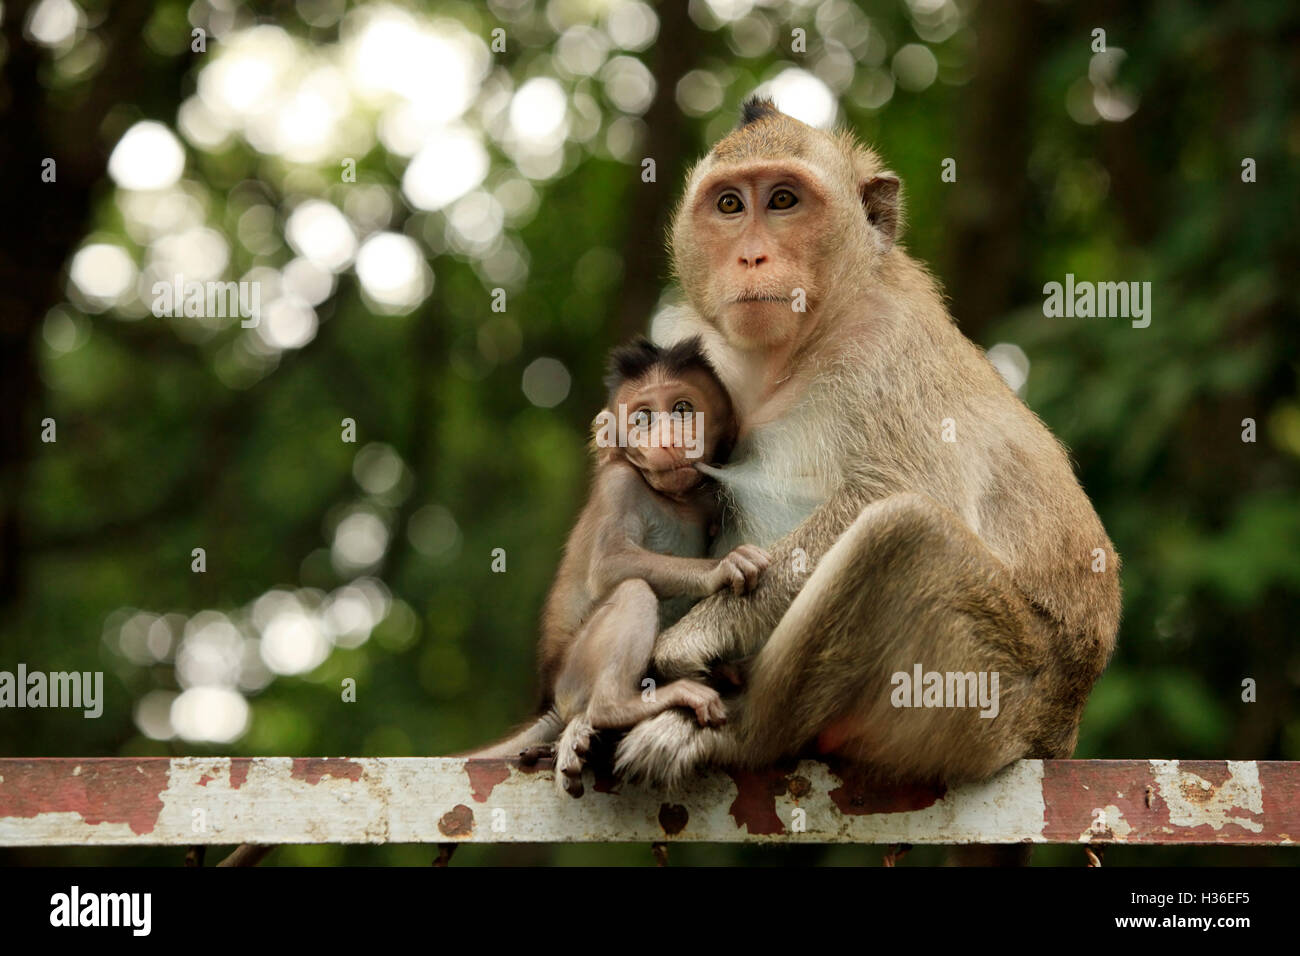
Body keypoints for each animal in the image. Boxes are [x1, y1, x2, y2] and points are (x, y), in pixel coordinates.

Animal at [469, 336, 770, 796]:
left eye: (682, 409)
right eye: (643, 418)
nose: (665, 439)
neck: (675, 499)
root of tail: (553, 700)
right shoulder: (619, 483)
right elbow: (609, 564)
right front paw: (722, 566)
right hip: (577, 674)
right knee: (633, 590)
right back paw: (616, 707)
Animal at [611, 99, 1122, 862]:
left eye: (784, 201)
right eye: (731, 205)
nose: (751, 255)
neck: (802, 347)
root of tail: (1061, 728)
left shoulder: (884, 352)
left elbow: (896, 492)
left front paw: (690, 641)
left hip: (991, 693)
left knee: (902, 537)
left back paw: (736, 733)